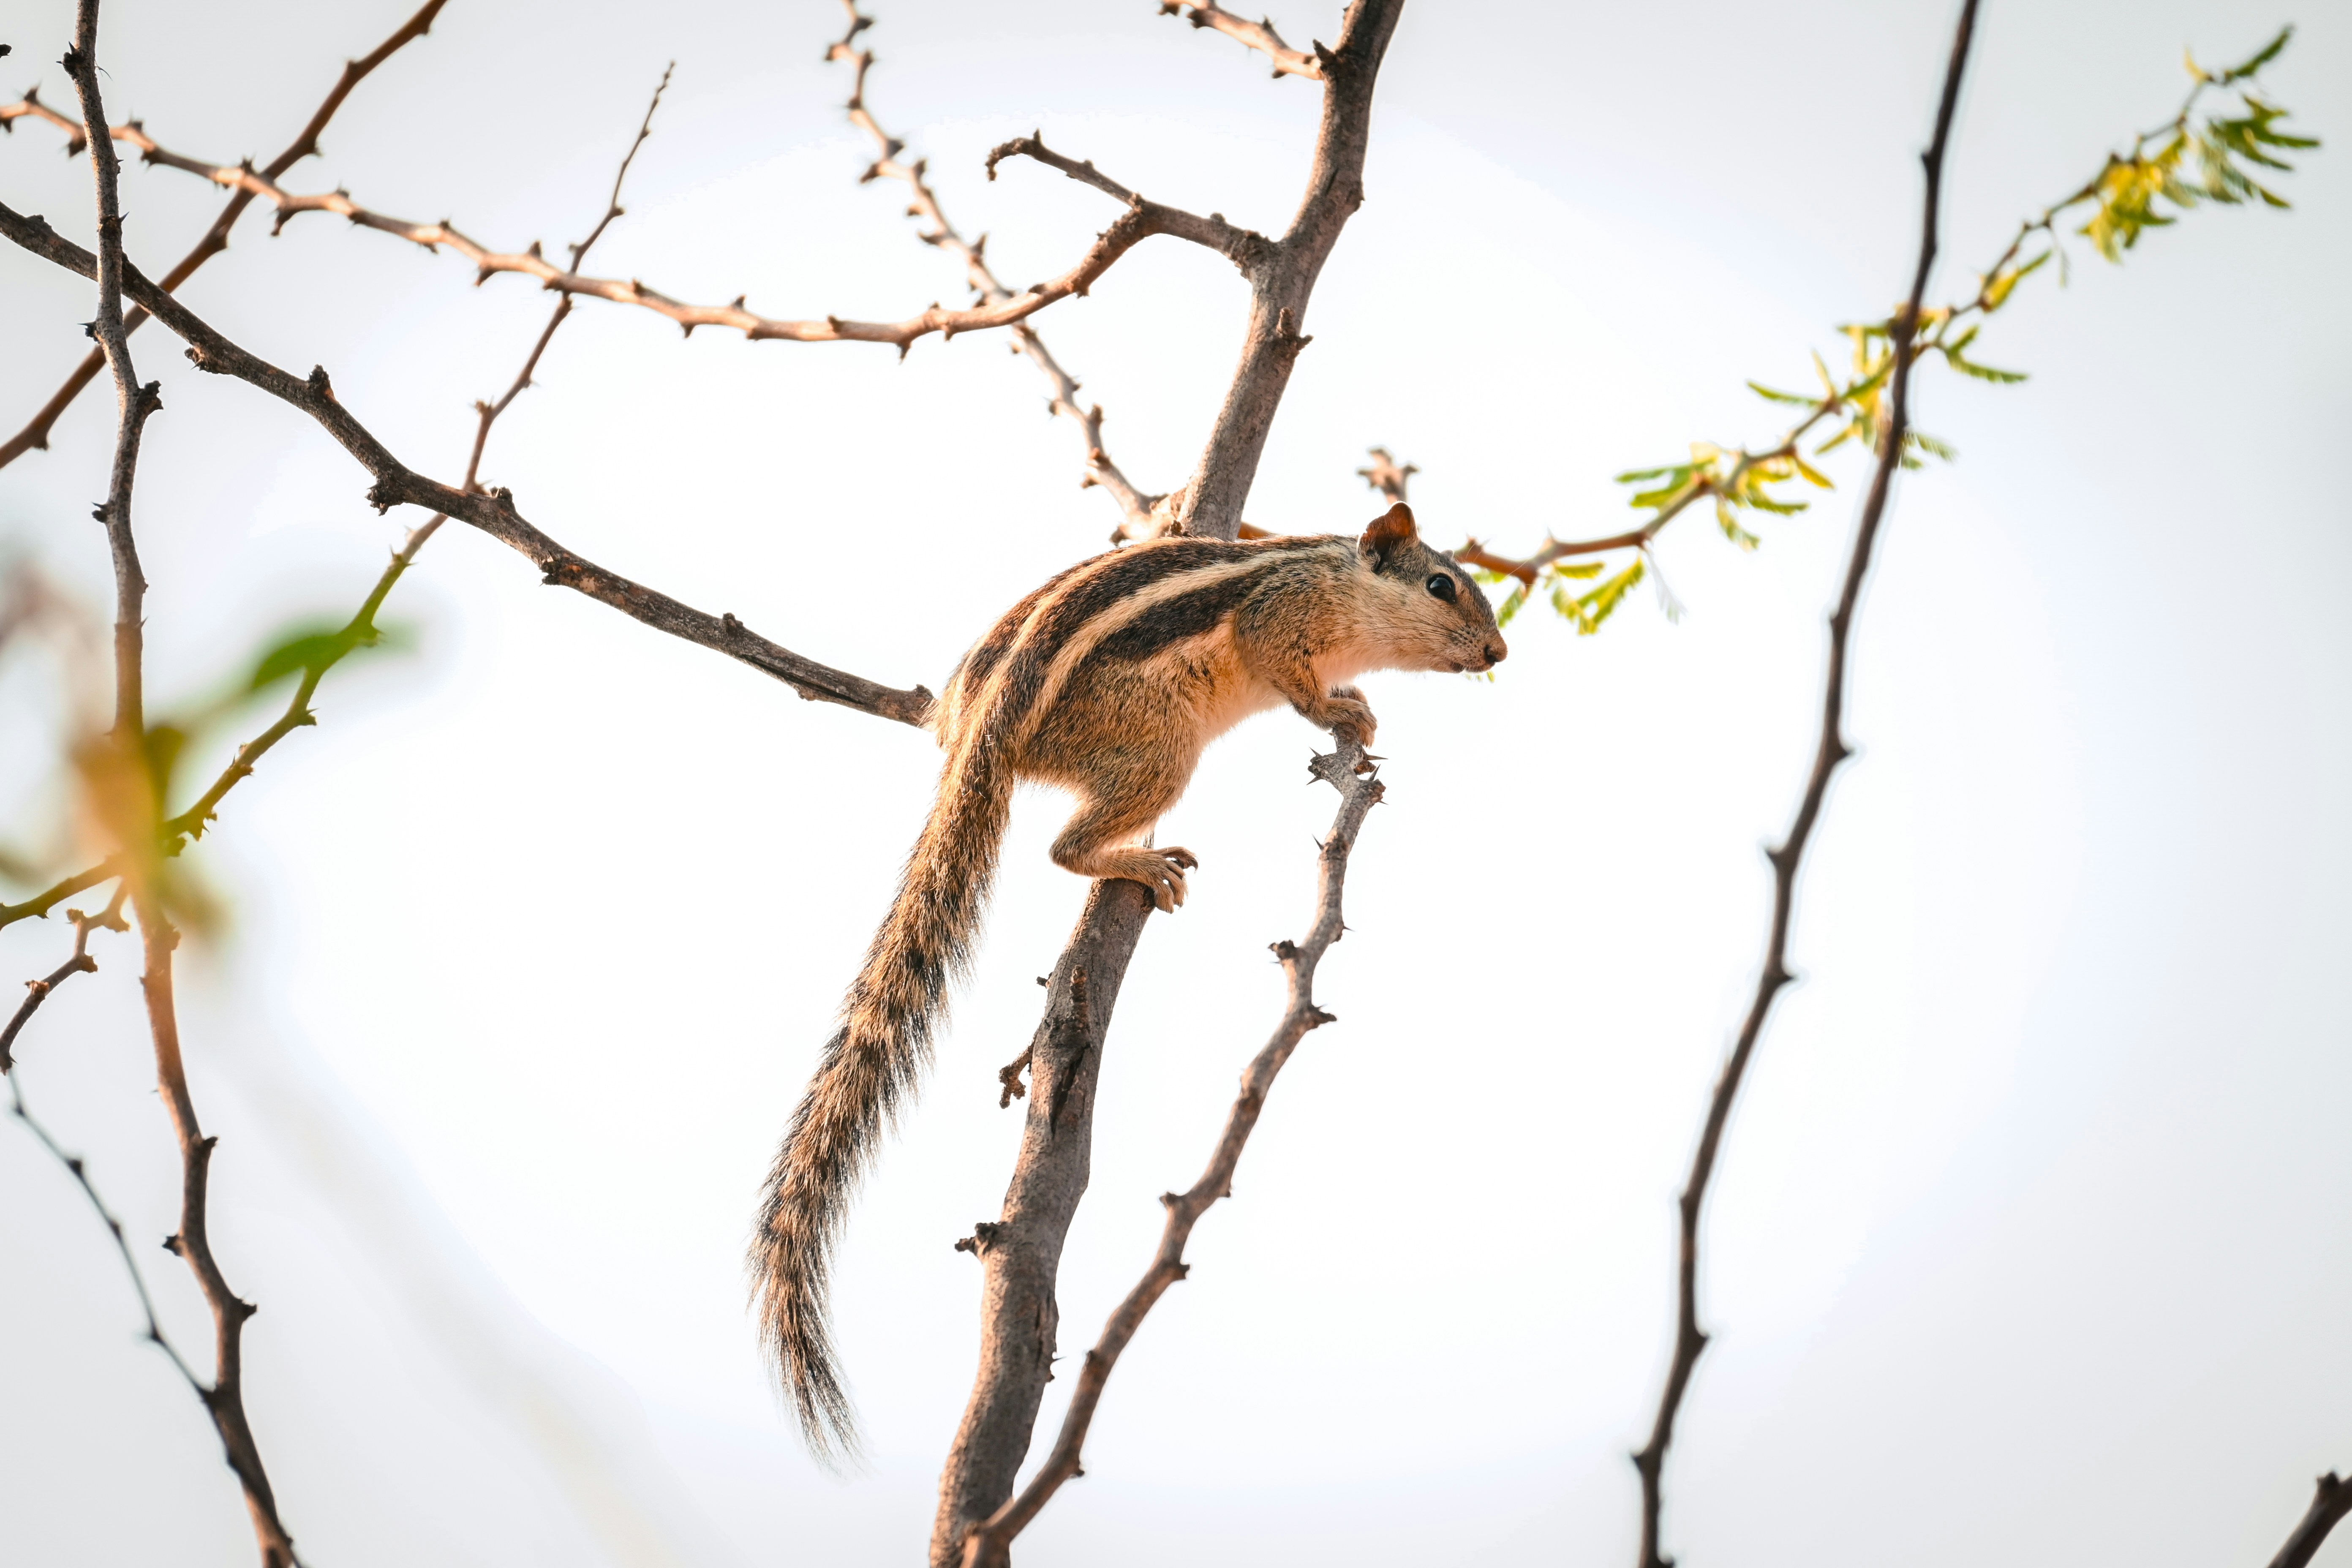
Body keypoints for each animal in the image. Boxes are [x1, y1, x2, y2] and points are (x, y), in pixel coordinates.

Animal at [751, 501, 1506, 1453]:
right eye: (1442, 584)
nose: (1499, 651)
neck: (1335, 576)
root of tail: (979, 737)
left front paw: (1359, 704)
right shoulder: (1279, 622)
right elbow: (1294, 682)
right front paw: (1344, 711)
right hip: (1159, 746)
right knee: (1063, 847)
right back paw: (1137, 860)